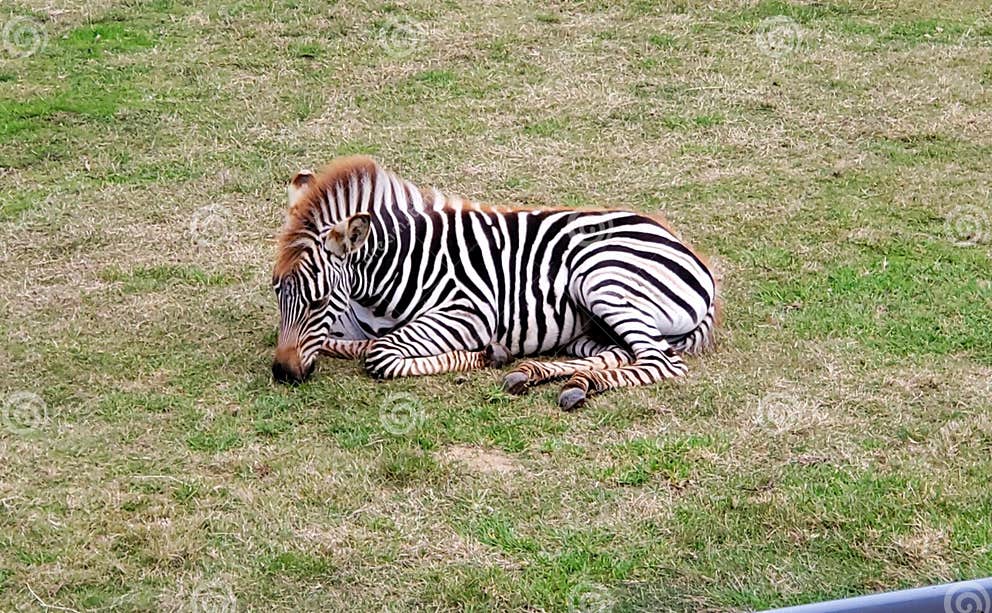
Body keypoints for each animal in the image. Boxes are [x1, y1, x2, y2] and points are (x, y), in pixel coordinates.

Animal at [271, 156, 719, 410]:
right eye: (277, 292)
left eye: (318, 300)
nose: (283, 374)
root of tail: (681, 244)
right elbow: (340, 341)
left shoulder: (468, 312)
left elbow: (380, 354)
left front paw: (486, 353)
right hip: (590, 328)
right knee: (622, 353)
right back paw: (552, 377)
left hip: (601, 281)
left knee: (660, 361)